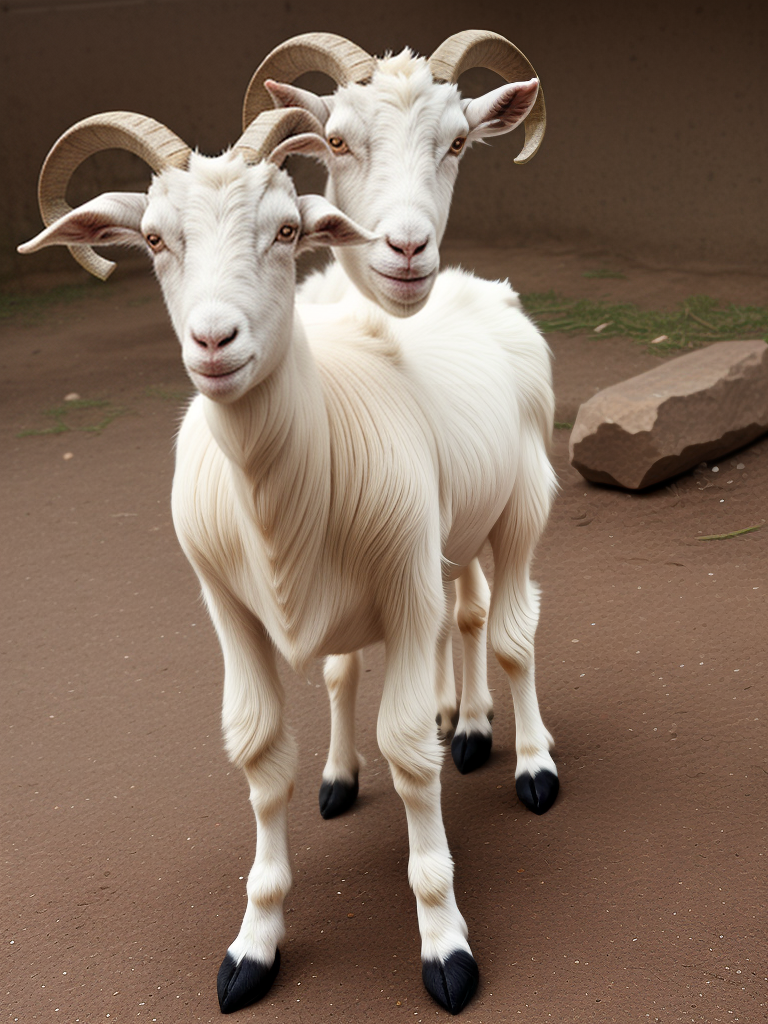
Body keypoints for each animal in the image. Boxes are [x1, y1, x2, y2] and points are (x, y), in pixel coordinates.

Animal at [20, 105, 558, 1016]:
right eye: (154, 240)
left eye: (285, 231)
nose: (213, 340)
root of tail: (470, 283)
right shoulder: (231, 611)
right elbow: (262, 753)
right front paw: (254, 946)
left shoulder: (405, 585)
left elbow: (409, 756)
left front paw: (446, 945)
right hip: (450, 539)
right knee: (458, 616)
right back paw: (453, 725)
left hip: (521, 504)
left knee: (513, 633)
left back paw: (528, 760)